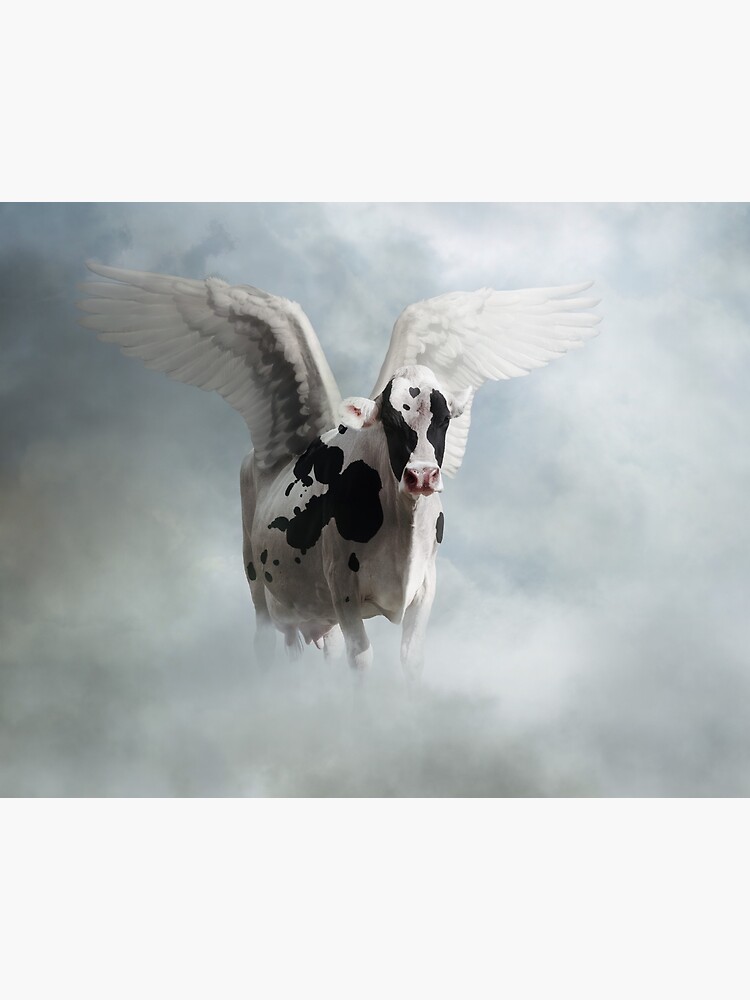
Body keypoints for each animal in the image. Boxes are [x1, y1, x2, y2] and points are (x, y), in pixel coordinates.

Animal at [79, 262, 600, 676]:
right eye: (390, 420)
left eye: (444, 418)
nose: (423, 476)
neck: (401, 532)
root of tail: (265, 458)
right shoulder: (344, 587)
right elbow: (362, 659)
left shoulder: (426, 586)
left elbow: (410, 660)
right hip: (258, 580)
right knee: (267, 643)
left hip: (309, 606)